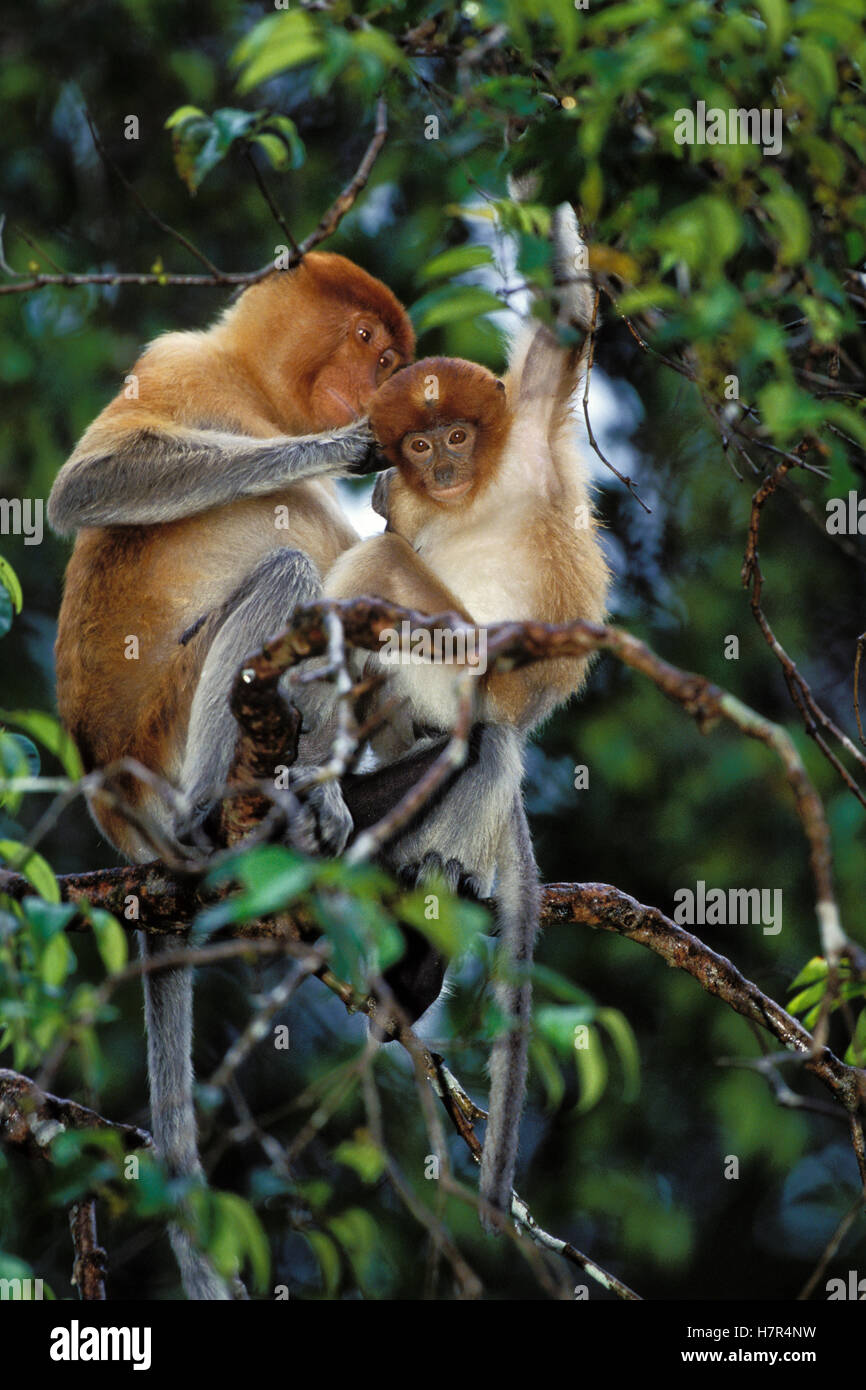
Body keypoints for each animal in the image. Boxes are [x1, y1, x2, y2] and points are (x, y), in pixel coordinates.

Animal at [48, 251, 415, 1297]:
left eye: (393, 355)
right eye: (369, 342)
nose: (380, 385)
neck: (256, 391)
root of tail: (118, 810)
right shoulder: (172, 364)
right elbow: (89, 485)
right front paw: (351, 445)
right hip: (164, 735)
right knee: (292, 576)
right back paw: (220, 821)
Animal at [324, 205, 609, 1221]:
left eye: (454, 435)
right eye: (421, 443)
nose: (438, 466)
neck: (478, 488)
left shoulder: (527, 439)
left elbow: (567, 327)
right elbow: (389, 513)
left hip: (467, 665)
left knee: (381, 580)